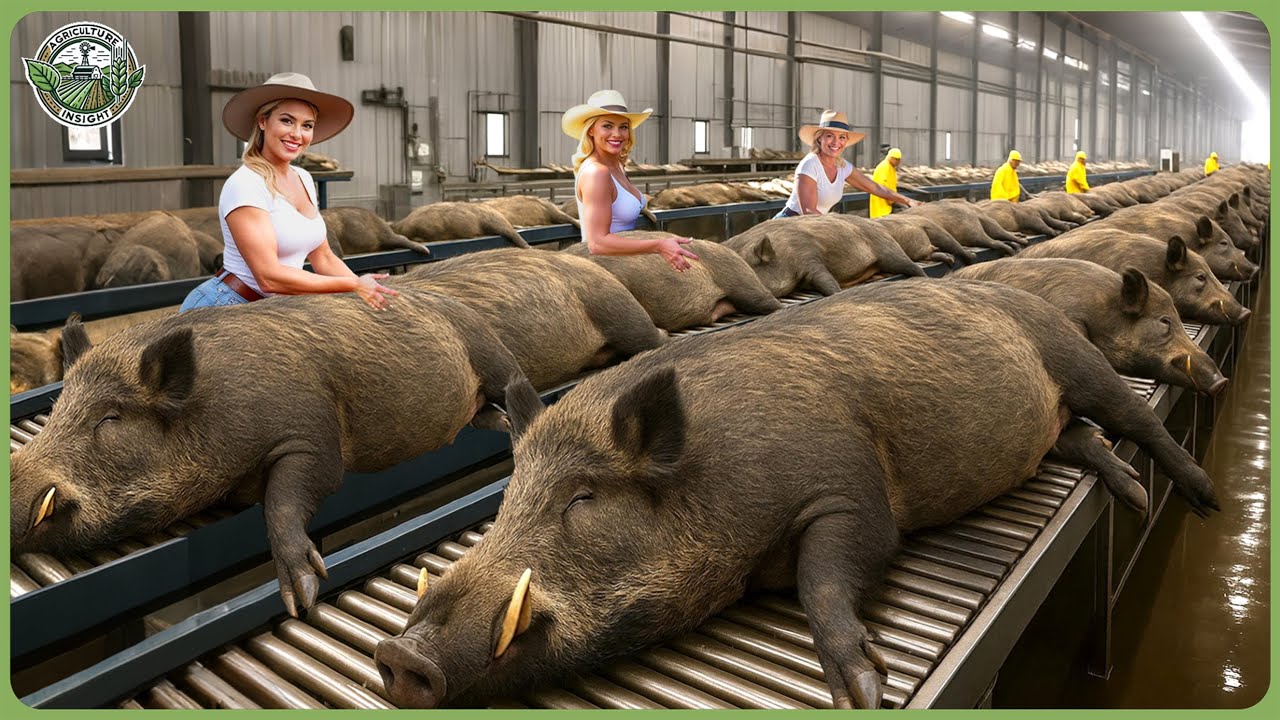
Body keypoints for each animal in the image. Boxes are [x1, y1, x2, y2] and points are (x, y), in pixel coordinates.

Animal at [9, 289, 527, 617]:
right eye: (59, 406)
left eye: (110, 418)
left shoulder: (313, 437)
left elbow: (283, 497)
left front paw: (304, 595)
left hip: (493, 354)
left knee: (516, 388)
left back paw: (515, 425)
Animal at [374, 279, 1218, 710]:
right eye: (510, 492)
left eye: (582, 498)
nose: (399, 653)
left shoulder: (851, 492)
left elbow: (827, 575)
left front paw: (863, 691)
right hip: (1044, 424)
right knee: (1079, 438)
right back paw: (1133, 497)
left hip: (1078, 361)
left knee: (1135, 415)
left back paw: (1199, 499)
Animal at [724, 214, 925, 297]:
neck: (782, 252)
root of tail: (877, 225)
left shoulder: (808, 255)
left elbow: (826, 281)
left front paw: (837, 294)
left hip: (887, 249)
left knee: (912, 267)